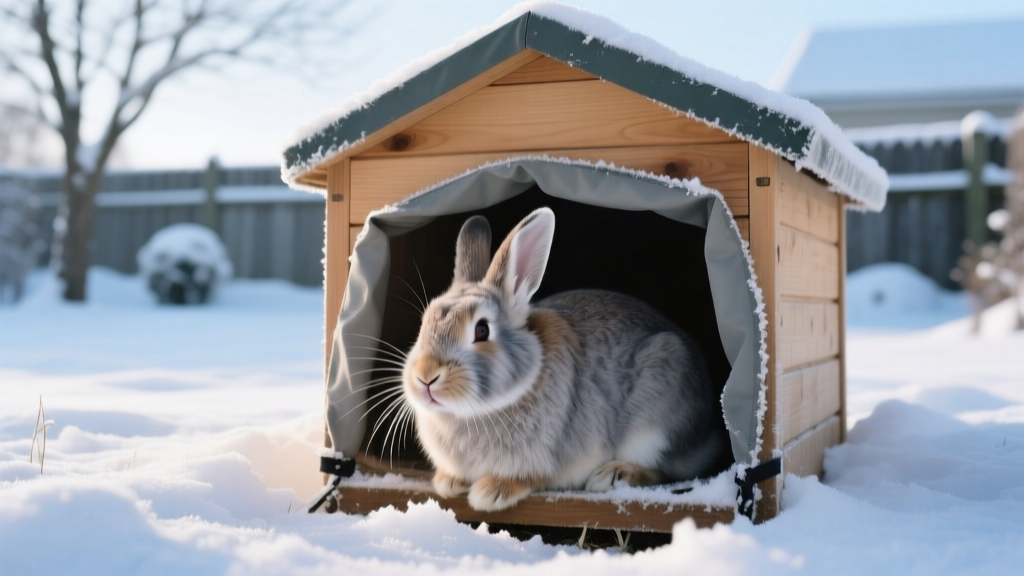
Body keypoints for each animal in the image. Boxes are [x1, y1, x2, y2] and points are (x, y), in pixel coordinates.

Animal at [400, 207, 729, 512]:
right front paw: (448, 482)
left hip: (656, 417)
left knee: (664, 470)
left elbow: (528, 477)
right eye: (424, 323)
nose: (425, 376)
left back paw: (613, 475)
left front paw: (489, 493)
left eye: (482, 330)